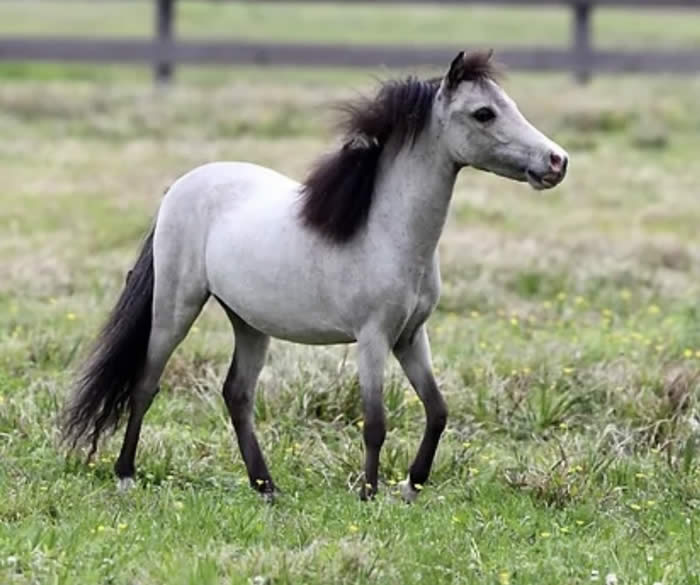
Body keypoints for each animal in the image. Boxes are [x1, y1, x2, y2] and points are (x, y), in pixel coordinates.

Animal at [62, 50, 568, 502]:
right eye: (483, 113)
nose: (557, 162)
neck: (385, 232)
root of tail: (179, 188)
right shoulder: (372, 338)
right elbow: (375, 422)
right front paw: (368, 494)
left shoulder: (410, 336)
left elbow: (438, 410)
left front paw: (410, 486)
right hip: (176, 305)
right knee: (146, 383)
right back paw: (126, 477)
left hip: (248, 321)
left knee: (237, 394)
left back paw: (266, 487)